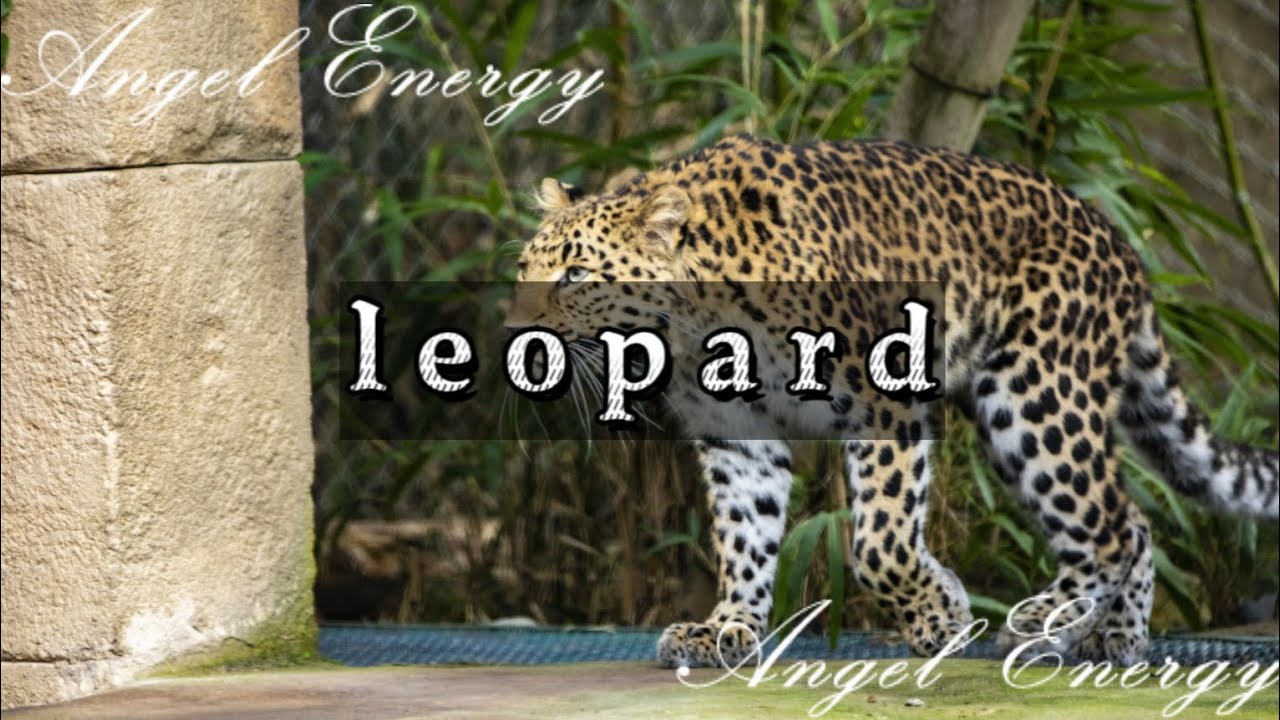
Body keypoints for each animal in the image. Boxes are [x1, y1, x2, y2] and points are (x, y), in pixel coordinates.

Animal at [505, 134, 1279, 669]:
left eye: (575, 275)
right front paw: (727, 627)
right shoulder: (735, 432)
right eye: (523, 268)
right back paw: (1111, 637)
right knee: (1133, 519)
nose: (518, 331)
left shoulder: (886, 403)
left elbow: (878, 540)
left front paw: (941, 614)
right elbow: (745, 535)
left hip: (1032, 394)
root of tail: (1119, 244)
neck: (696, 325)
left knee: (1112, 524)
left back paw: (1045, 621)